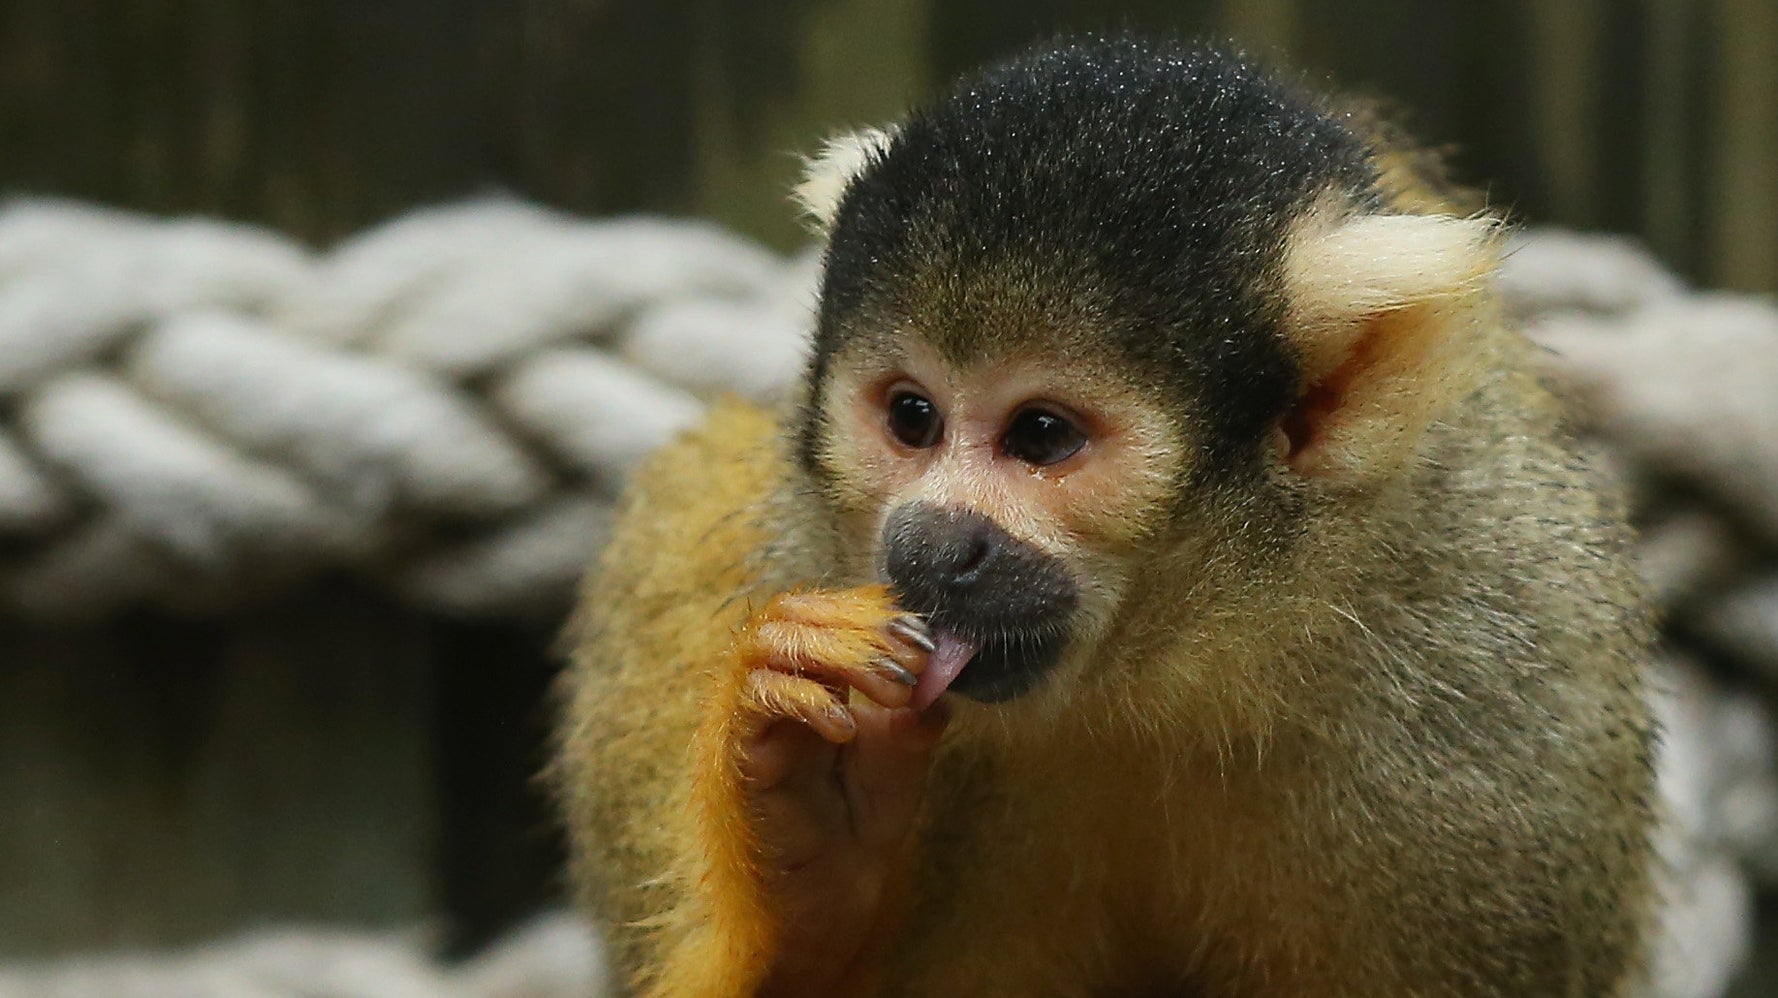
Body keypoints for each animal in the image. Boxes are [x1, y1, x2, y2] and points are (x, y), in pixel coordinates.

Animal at [553, 37, 1657, 998]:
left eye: (1042, 435)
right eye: (911, 416)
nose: (933, 545)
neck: (1170, 672)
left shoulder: (1494, 715)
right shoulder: (803, 556)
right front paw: (809, 832)